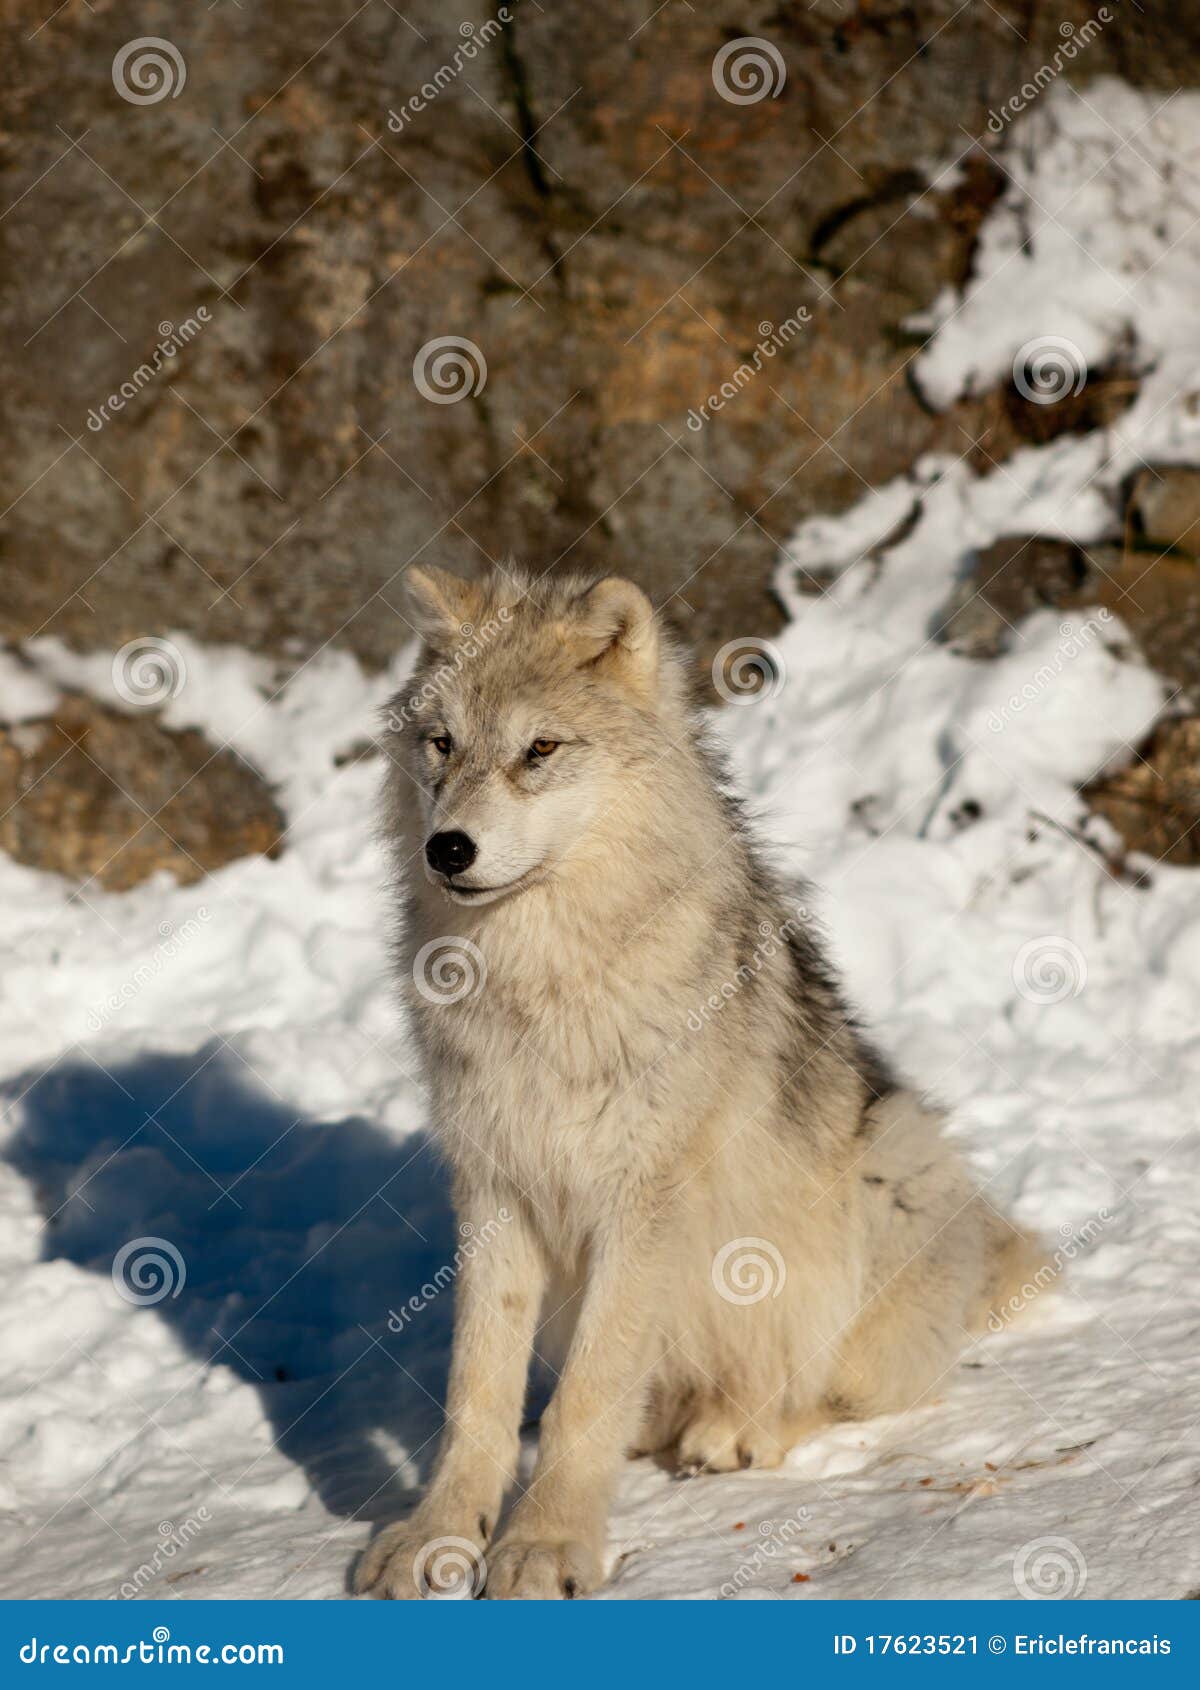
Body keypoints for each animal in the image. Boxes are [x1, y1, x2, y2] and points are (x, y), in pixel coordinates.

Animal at [356, 564, 1044, 1600]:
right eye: (443, 745)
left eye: (539, 750)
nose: (448, 849)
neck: (540, 979)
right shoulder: (494, 1190)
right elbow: (477, 1394)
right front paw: (438, 1538)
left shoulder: (644, 1200)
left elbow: (589, 1395)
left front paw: (545, 1545)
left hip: (893, 1156)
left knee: (843, 1390)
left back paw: (740, 1428)